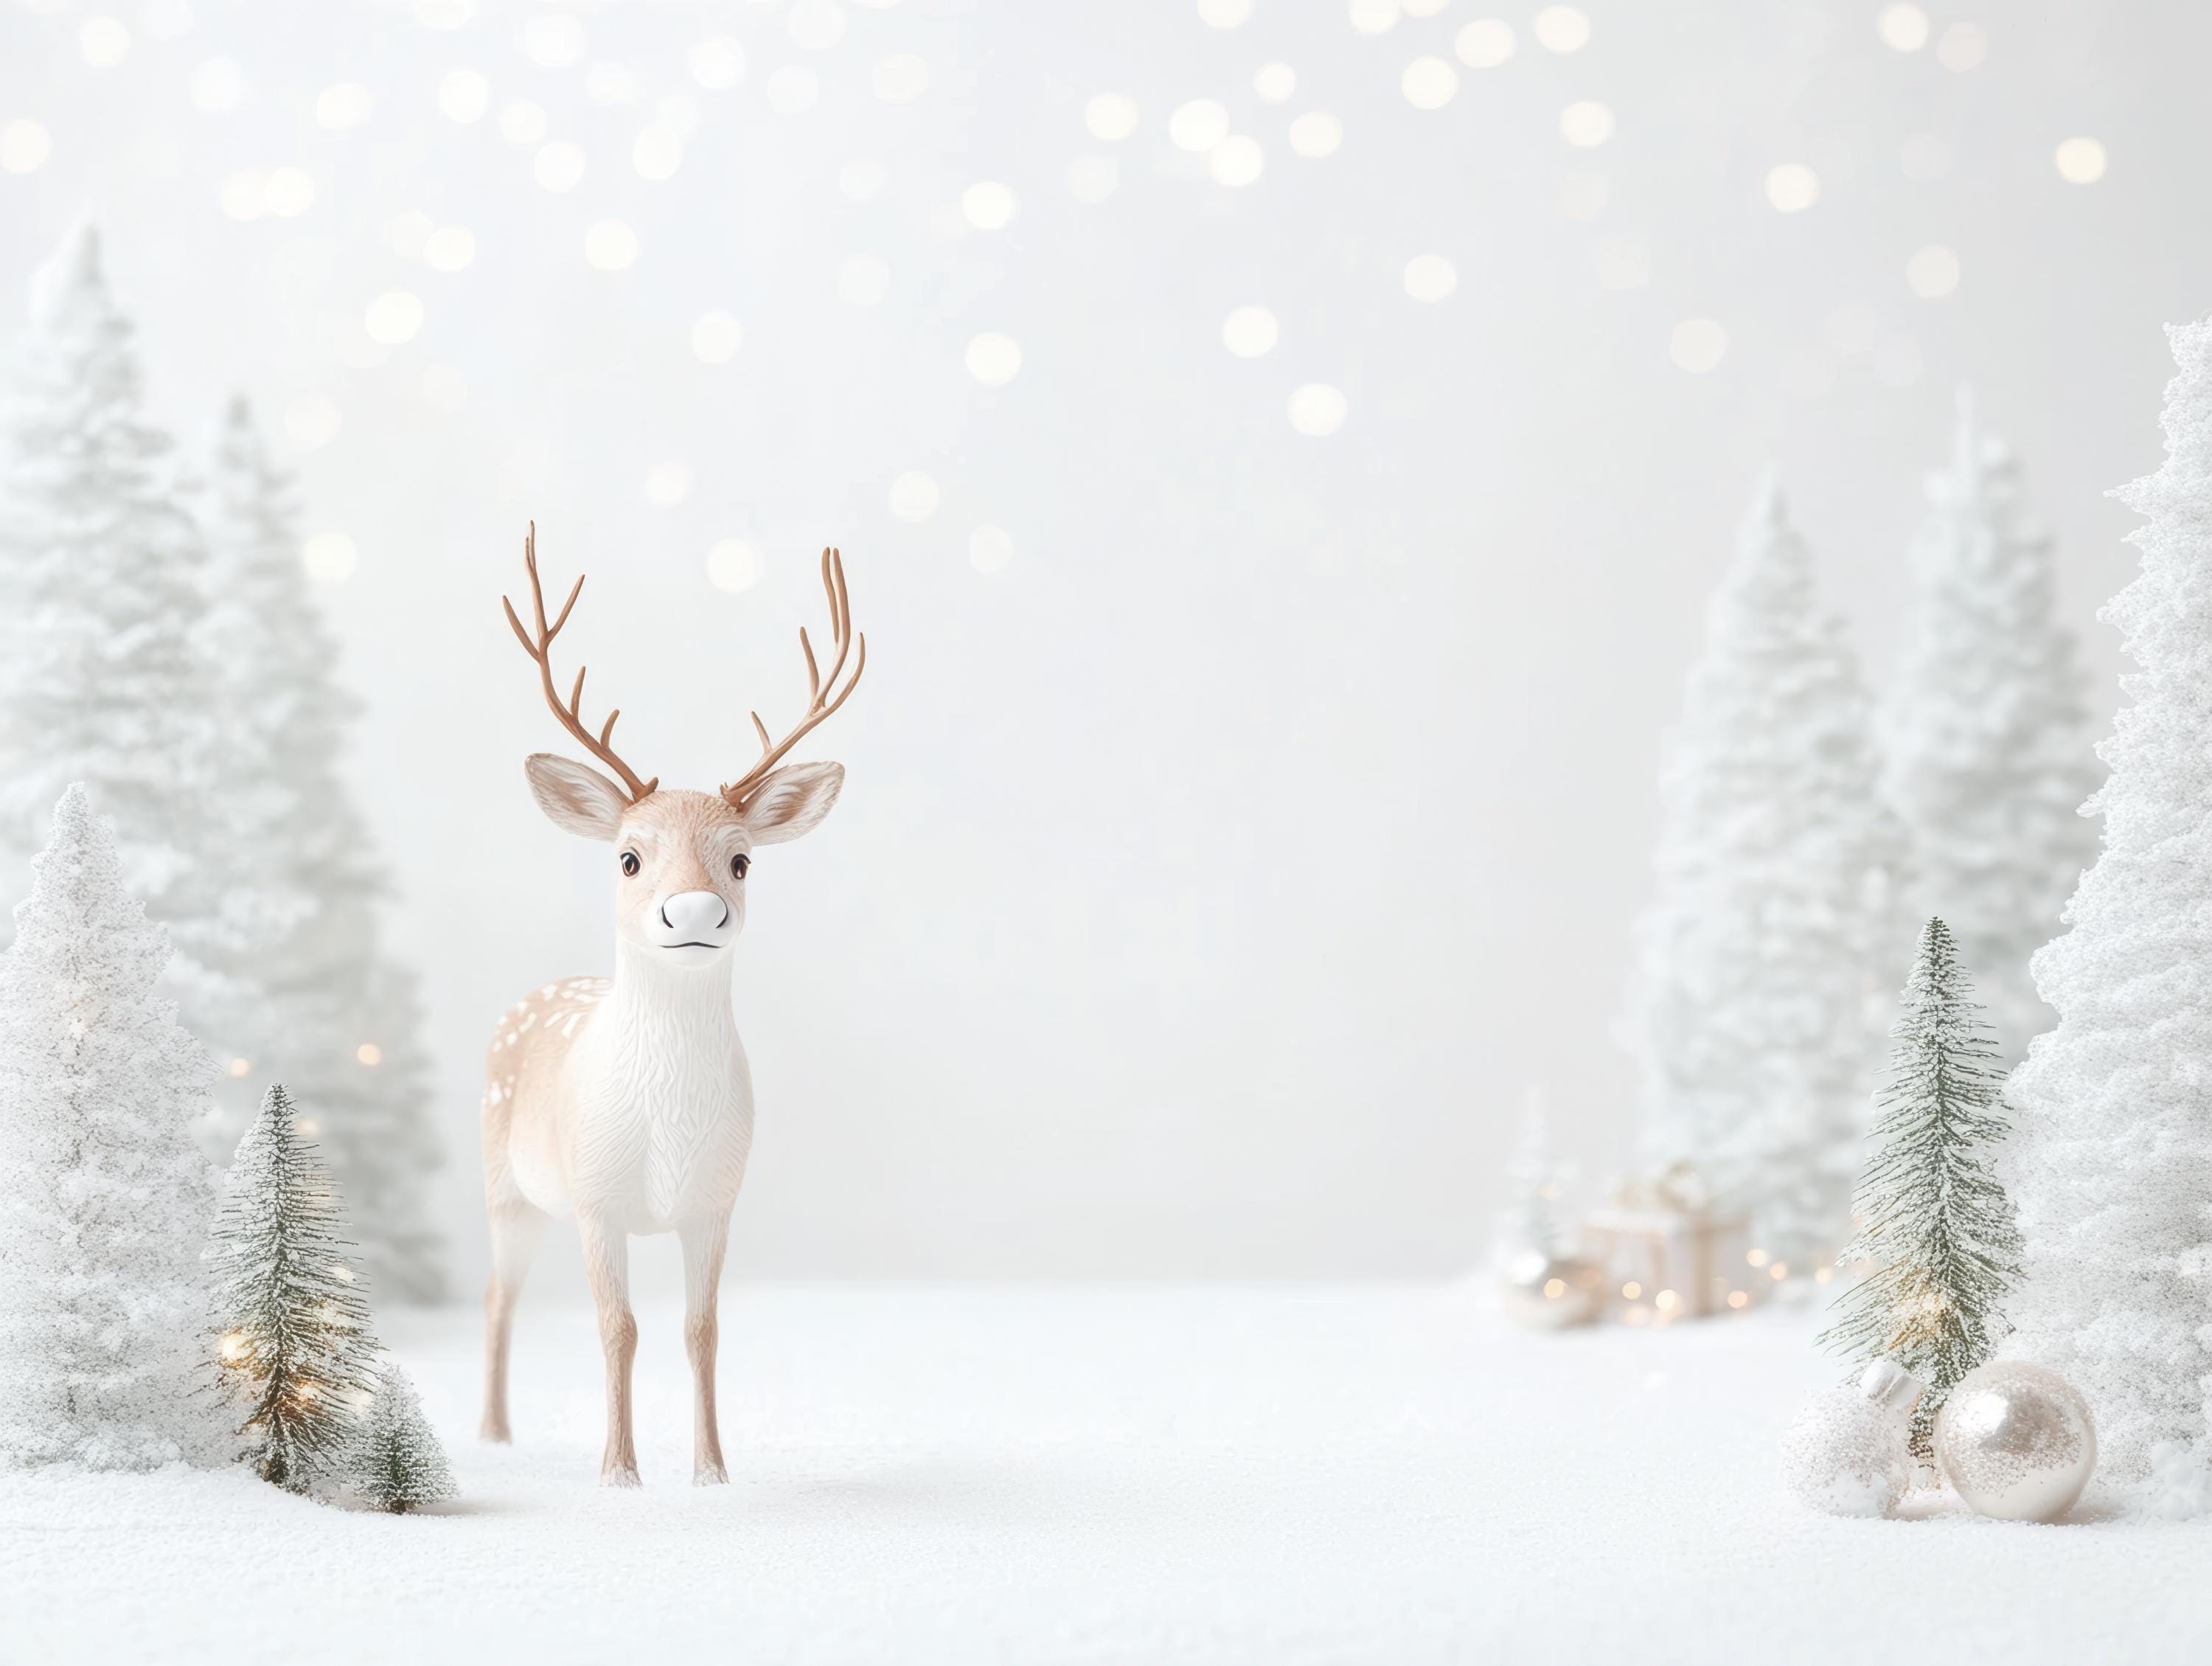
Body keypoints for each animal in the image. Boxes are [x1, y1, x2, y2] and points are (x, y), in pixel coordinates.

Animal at [478, 526, 864, 1486]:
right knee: (498, 1296)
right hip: (506, 1186)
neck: (668, 1123)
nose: (693, 913)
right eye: (628, 856)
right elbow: (618, 1329)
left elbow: (701, 1331)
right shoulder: (596, 1199)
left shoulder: (716, 1202)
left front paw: (712, 1473)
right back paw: (494, 1436)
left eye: (742, 860)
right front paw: (619, 1473)